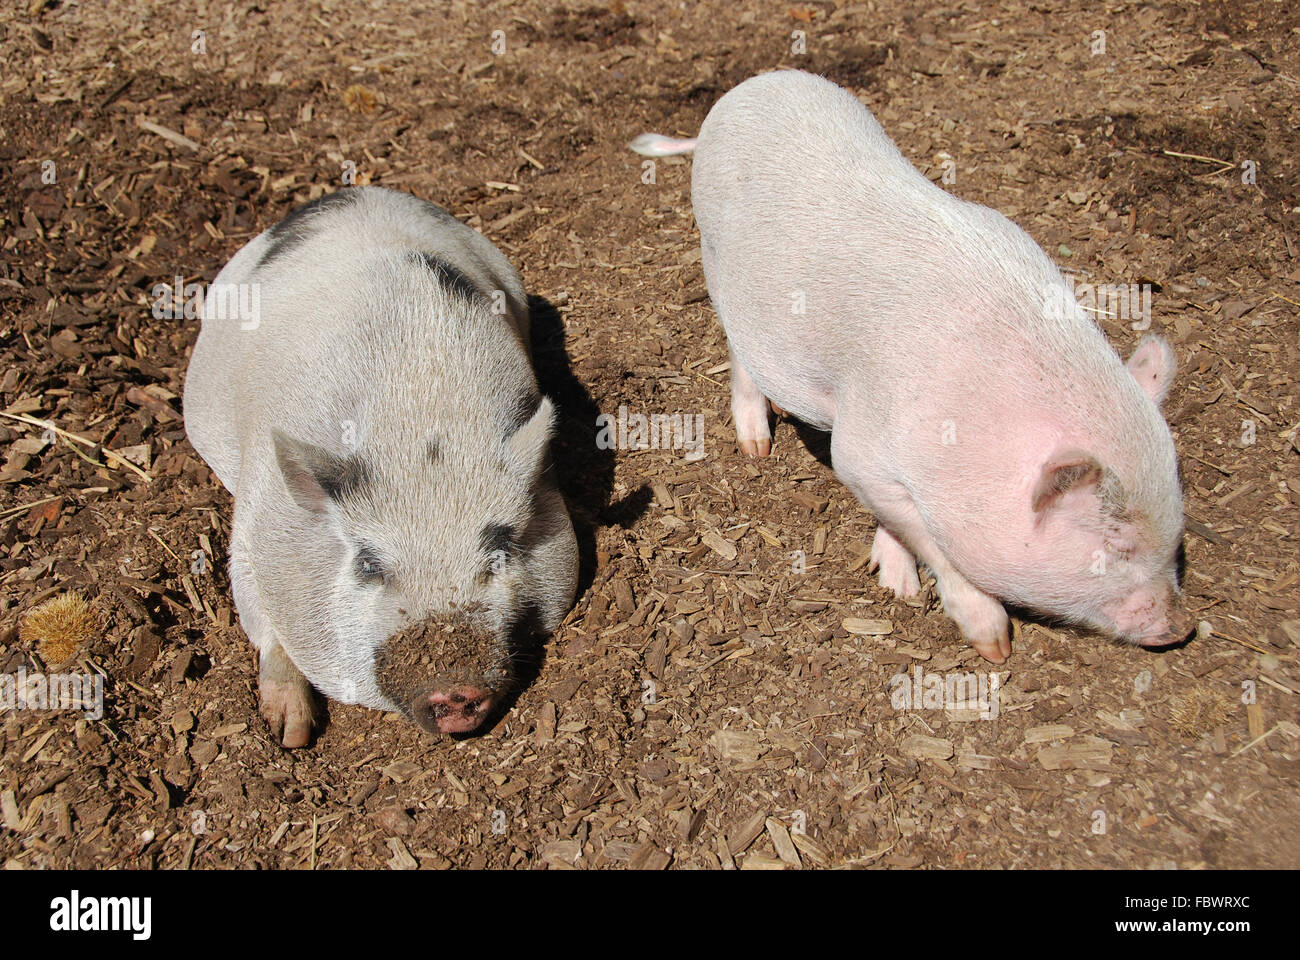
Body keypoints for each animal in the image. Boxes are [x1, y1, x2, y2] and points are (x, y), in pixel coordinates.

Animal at [183, 186, 579, 746]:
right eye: (368, 564)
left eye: (500, 553)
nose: (452, 687)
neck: (417, 423)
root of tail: (353, 192)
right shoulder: (253, 526)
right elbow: (259, 618)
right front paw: (292, 733)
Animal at [632, 70, 1190, 663]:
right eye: (1116, 544)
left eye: (1176, 522)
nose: (1182, 629)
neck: (972, 428)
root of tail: (743, 92)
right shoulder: (859, 453)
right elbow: (934, 545)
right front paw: (990, 644)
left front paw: (897, 585)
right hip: (716, 260)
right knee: (740, 352)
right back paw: (756, 447)